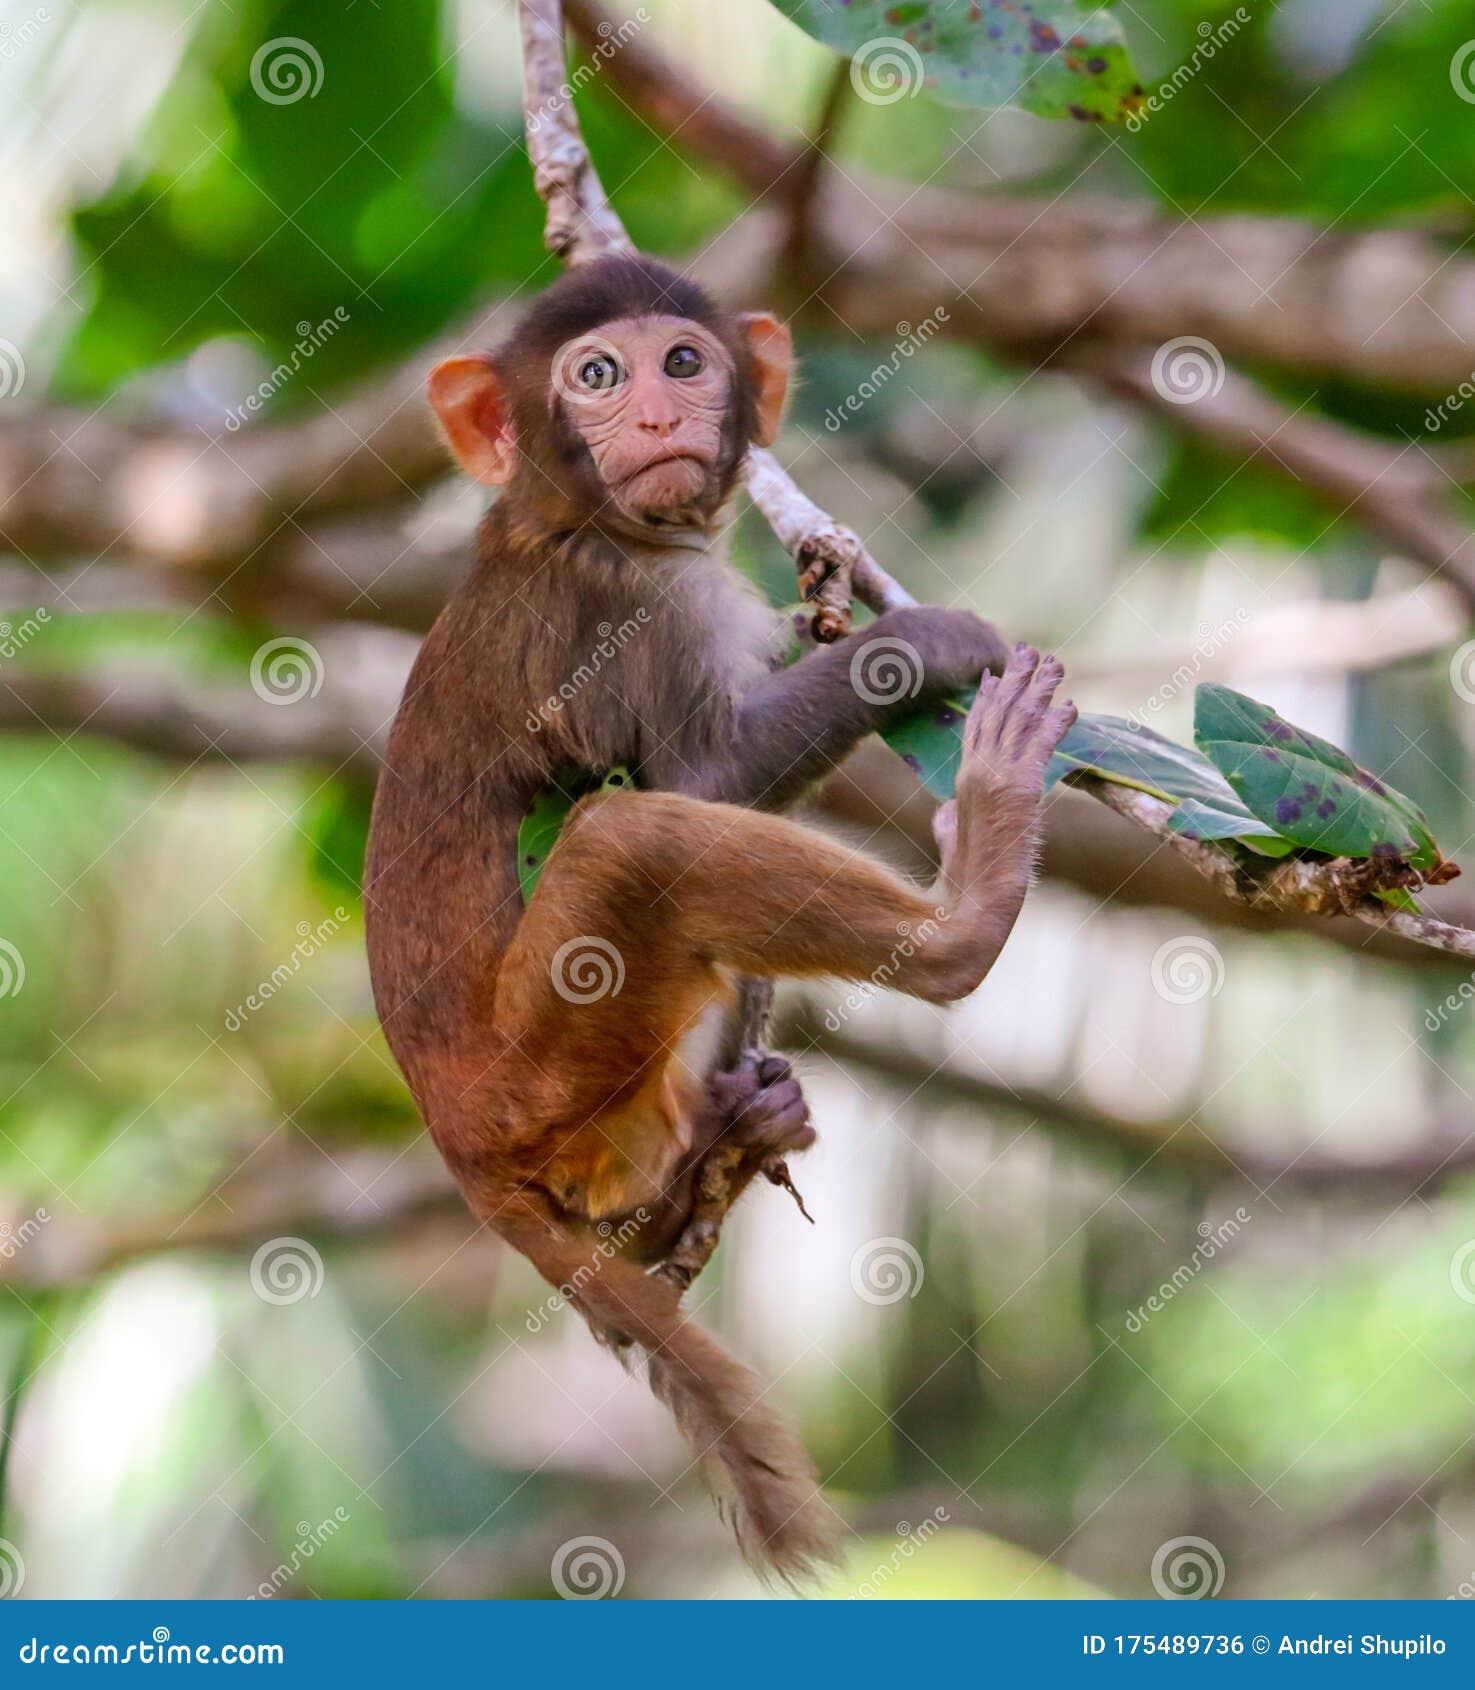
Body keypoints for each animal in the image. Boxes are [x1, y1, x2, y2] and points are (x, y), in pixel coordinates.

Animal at [363, 254, 1076, 1584]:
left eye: (682, 362)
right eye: (597, 374)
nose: (653, 417)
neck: (569, 520)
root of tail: (456, 1139)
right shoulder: (631, 615)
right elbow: (701, 777)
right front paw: (917, 643)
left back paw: (726, 1135)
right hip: (542, 1055)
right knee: (627, 837)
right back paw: (966, 915)